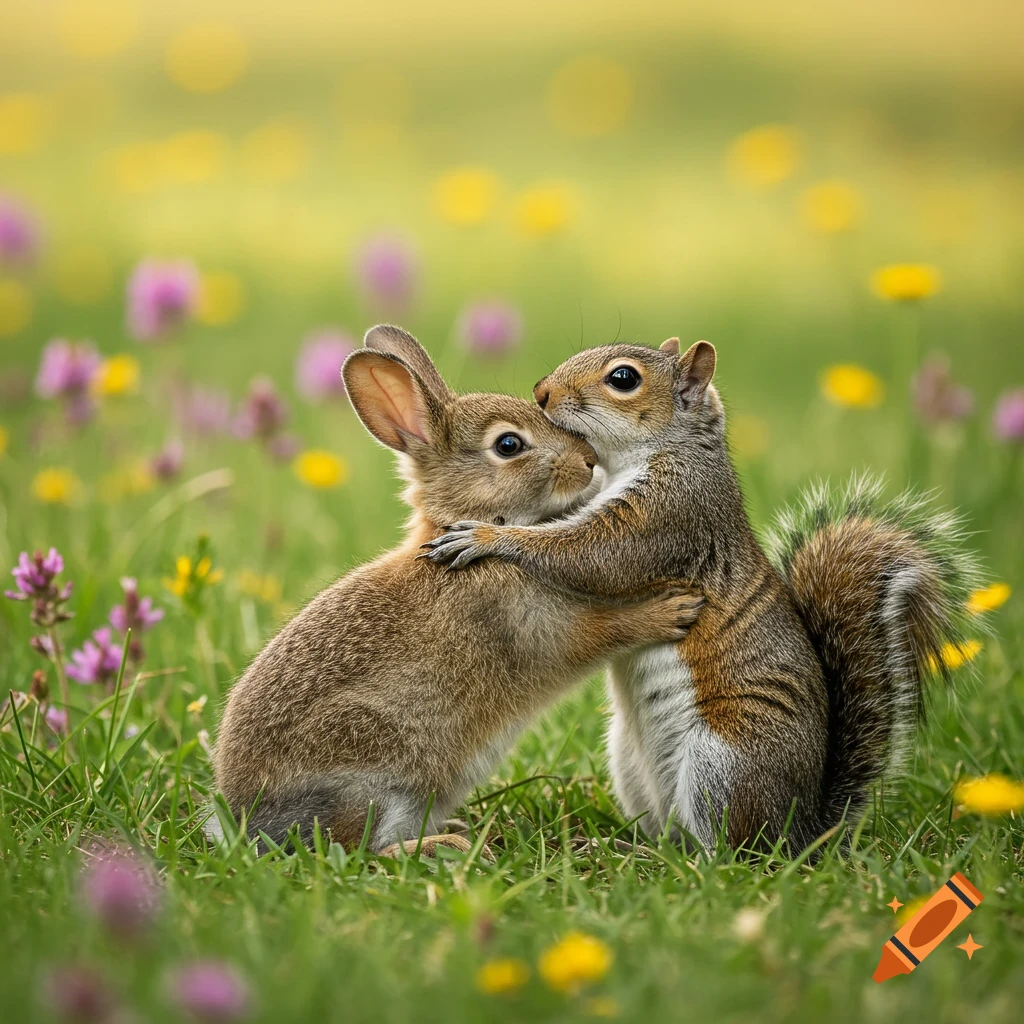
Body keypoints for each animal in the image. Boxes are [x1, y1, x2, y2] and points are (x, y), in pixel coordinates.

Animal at [213, 325, 704, 856]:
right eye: (508, 444)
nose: (588, 461)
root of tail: (246, 823)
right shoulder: (531, 625)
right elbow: (598, 633)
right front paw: (670, 611)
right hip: (375, 767)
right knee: (360, 848)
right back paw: (443, 845)